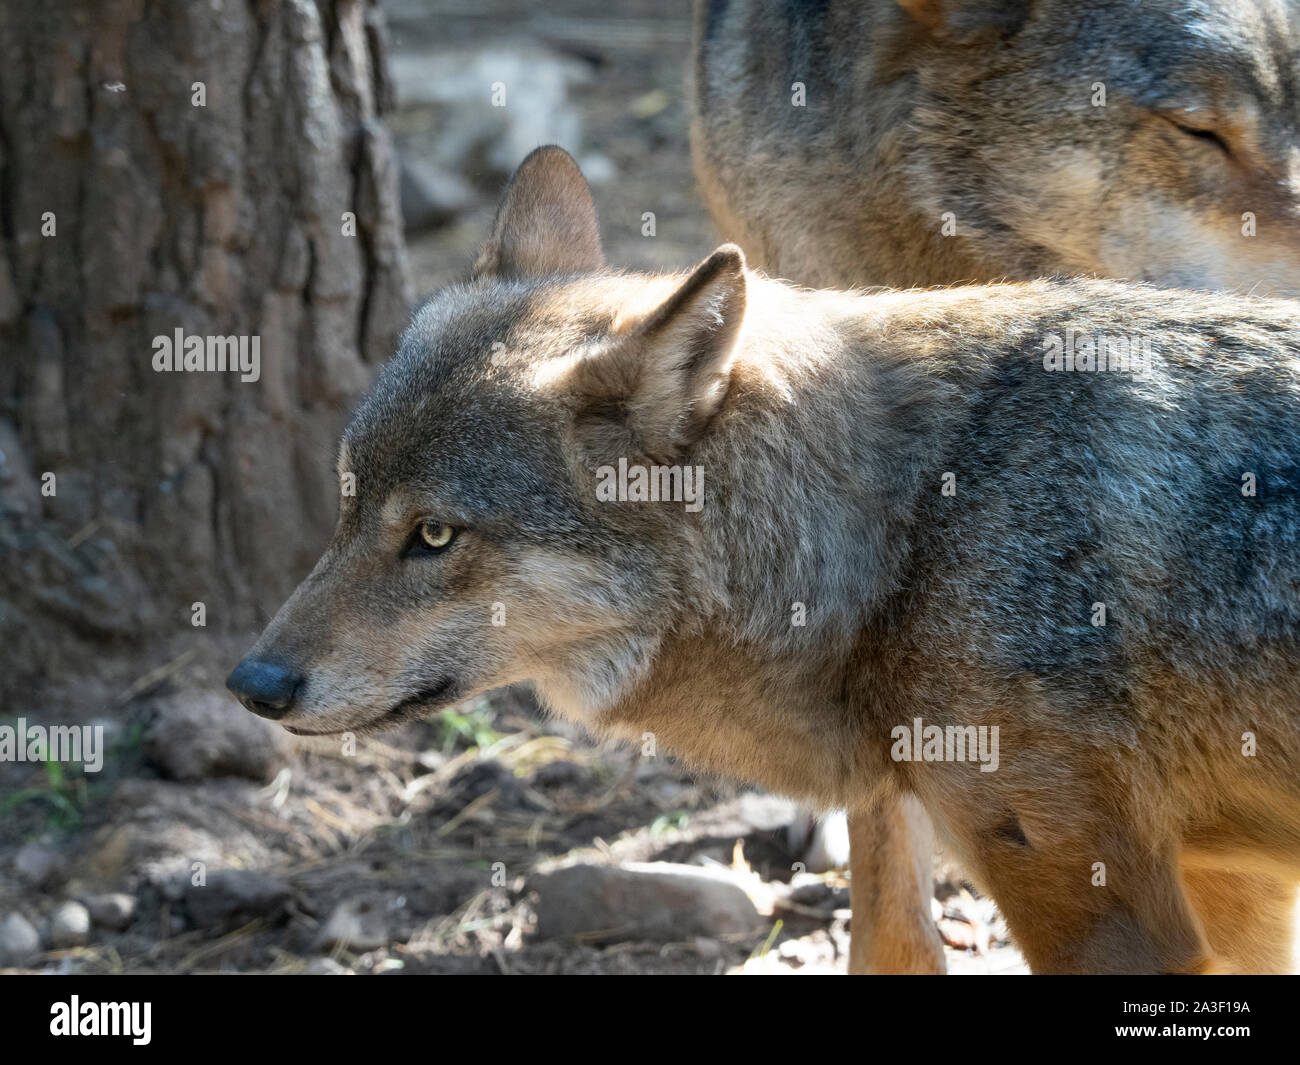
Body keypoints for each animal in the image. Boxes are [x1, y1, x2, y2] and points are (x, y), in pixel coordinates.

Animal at [228, 147, 1300, 974]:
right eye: (348, 501)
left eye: (435, 535)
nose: (252, 684)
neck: (906, 532)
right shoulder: (1229, 895)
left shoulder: (1104, 911)